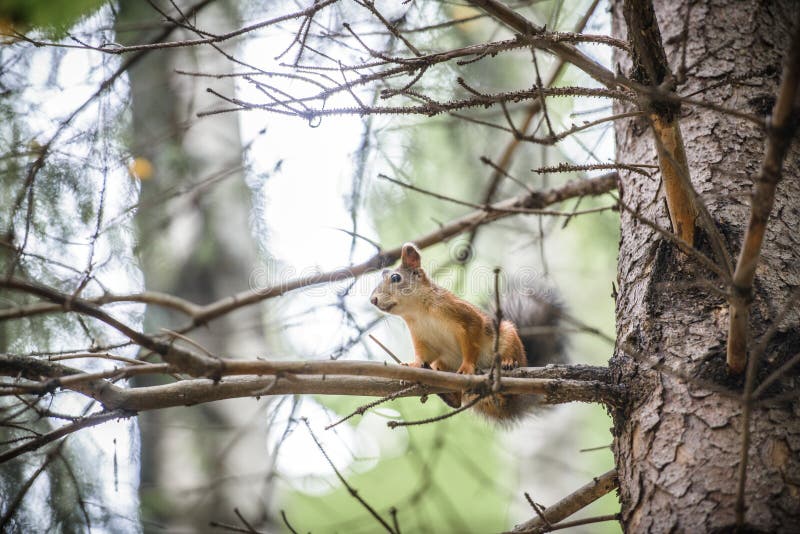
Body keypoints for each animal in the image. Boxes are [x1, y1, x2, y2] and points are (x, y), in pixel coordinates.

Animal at [369, 242, 565, 422]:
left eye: (396, 277)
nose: (373, 300)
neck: (418, 312)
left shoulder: (463, 315)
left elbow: (471, 343)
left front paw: (467, 367)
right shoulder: (421, 337)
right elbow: (423, 355)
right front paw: (413, 365)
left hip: (508, 336)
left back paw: (509, 362)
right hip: (445, 363)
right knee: (456, 401)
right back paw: (443, 389)